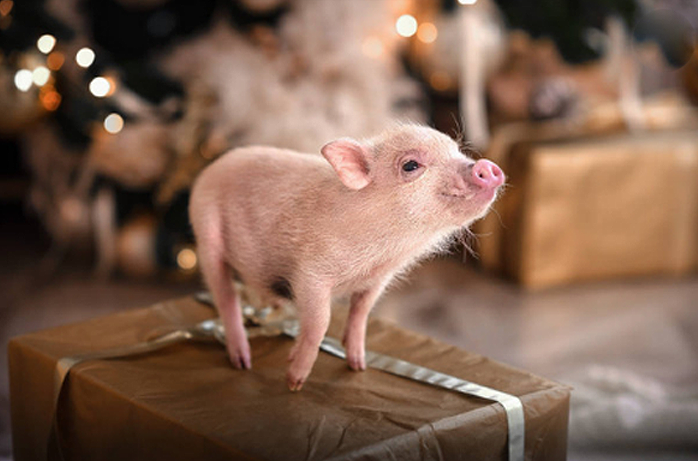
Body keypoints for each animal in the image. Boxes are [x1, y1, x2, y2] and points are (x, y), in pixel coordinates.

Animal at [189, 123, 504, 391]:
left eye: (457, 150)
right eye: (411, 165)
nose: (486, 166)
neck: (381, 252)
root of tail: (209, 169)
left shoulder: (378, 279)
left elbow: (361, 313)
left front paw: (358, 366)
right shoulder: (310, 274)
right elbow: (319, 323)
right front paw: (294, 382)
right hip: (206, 233)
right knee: (225, 296)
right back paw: (243, 362)